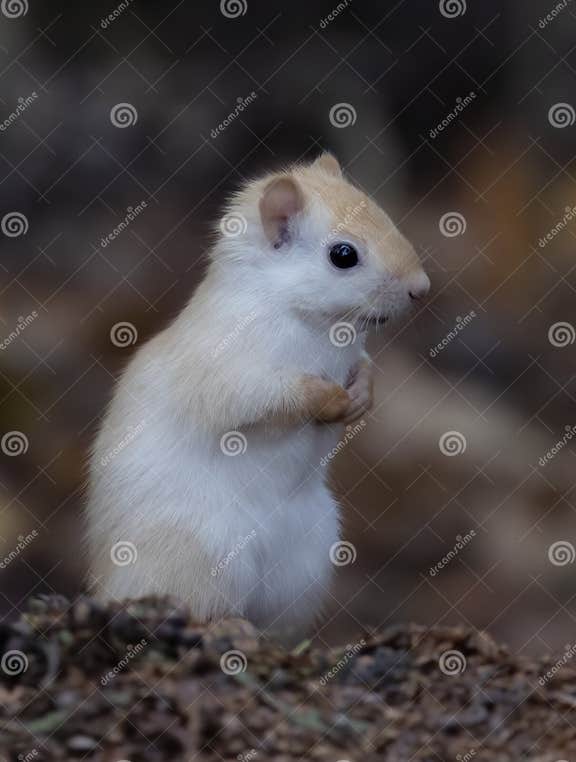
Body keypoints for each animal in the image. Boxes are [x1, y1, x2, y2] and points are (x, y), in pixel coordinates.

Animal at [85, 153, 430, 640]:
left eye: (384, 214)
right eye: (343, 255)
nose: (421, 288)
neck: (308, 317)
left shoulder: (353, 351)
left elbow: (363, 366)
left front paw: (362, 395)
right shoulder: (225, 368)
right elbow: (259, 399)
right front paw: (327, 398)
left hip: (306, 564)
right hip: (205, 553)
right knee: (197, 606)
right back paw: (225, 625)